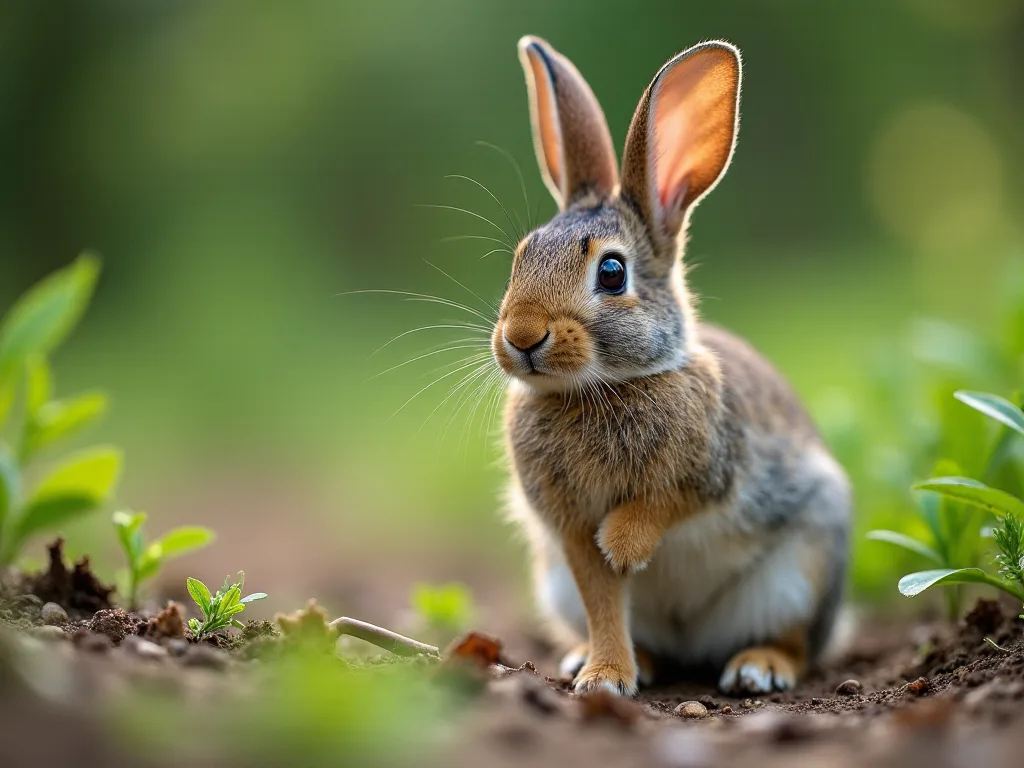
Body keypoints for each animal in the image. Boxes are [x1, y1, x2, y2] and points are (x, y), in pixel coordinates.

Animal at [491, 36, 851, 697]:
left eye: (612, 272)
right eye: (521, 257)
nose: (522, 336)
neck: (601, 388)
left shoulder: (715, 466)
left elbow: (670, 501)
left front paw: (625, 544)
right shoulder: (567, 531)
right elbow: (603, 599)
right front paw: (605, 678)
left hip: (802, 568)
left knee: (797, 640)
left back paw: (759, 667)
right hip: (554, 584)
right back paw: (611, 661)